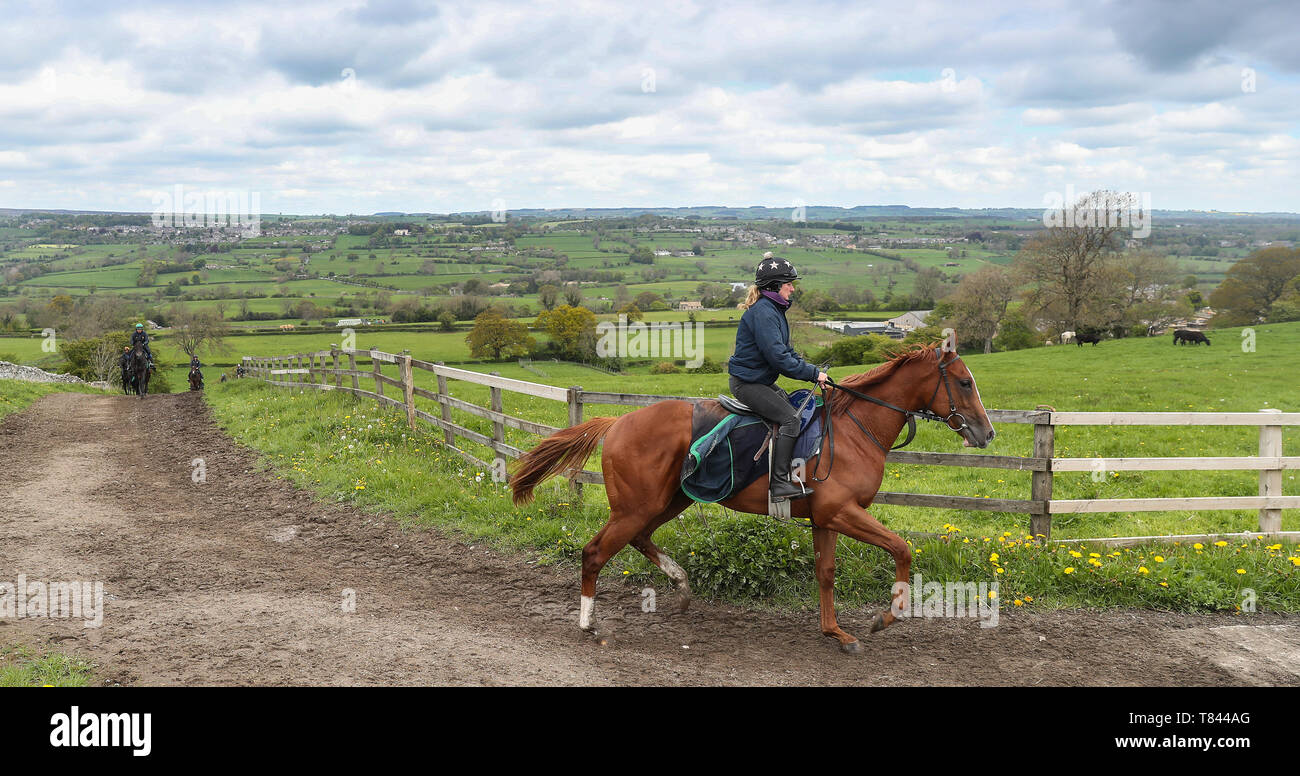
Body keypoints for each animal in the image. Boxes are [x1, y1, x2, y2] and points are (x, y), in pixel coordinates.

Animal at [510, 341, 996, 653]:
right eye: (964, 382)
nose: (987, 433)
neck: (854, 429)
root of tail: (617, 422)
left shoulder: (826, 518)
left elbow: (826, 573)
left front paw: (835, 633)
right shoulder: (842, 512)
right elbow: (902, 549)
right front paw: (884, 618)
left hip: (669, 502)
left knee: (640, 539)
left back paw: (681, 585)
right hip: (636, 507)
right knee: (594, 552)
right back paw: (590, 624)